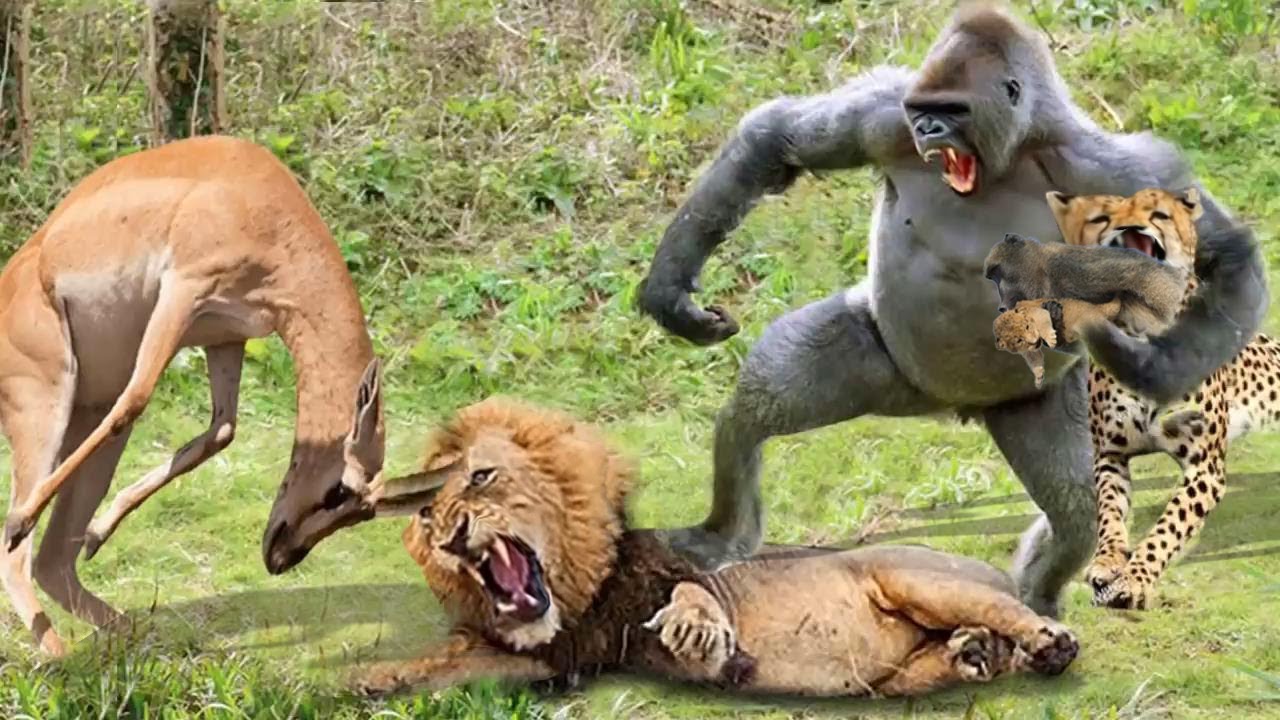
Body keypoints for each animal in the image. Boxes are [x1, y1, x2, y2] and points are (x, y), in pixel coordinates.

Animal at [355, 398, 1080, 697]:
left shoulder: (682, 565)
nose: (447, 533)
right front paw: (378, 678)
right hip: (898, 675)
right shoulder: (562, 656)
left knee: (1015, 615)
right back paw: (976, 655)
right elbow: (453, 665)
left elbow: (688, 590)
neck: (574, 591)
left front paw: (696, 634)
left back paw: (1047, 642)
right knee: (965, 655)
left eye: (481, 477)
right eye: (426, 515)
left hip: (917, 578)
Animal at [634, 1, 1267, 618]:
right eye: (923, 111)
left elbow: (1225, 259)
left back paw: (1038, 595)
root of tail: (948, 408)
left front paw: (1150, 370)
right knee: (763, 401)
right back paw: (722, 530)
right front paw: (670, 289)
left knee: (1079, 506)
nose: (928, 129)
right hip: (886, 364)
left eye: (953, 111)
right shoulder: (884, 114)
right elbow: (779, 138)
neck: (1008, 156)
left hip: (1030, 402)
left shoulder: (1118, 168)